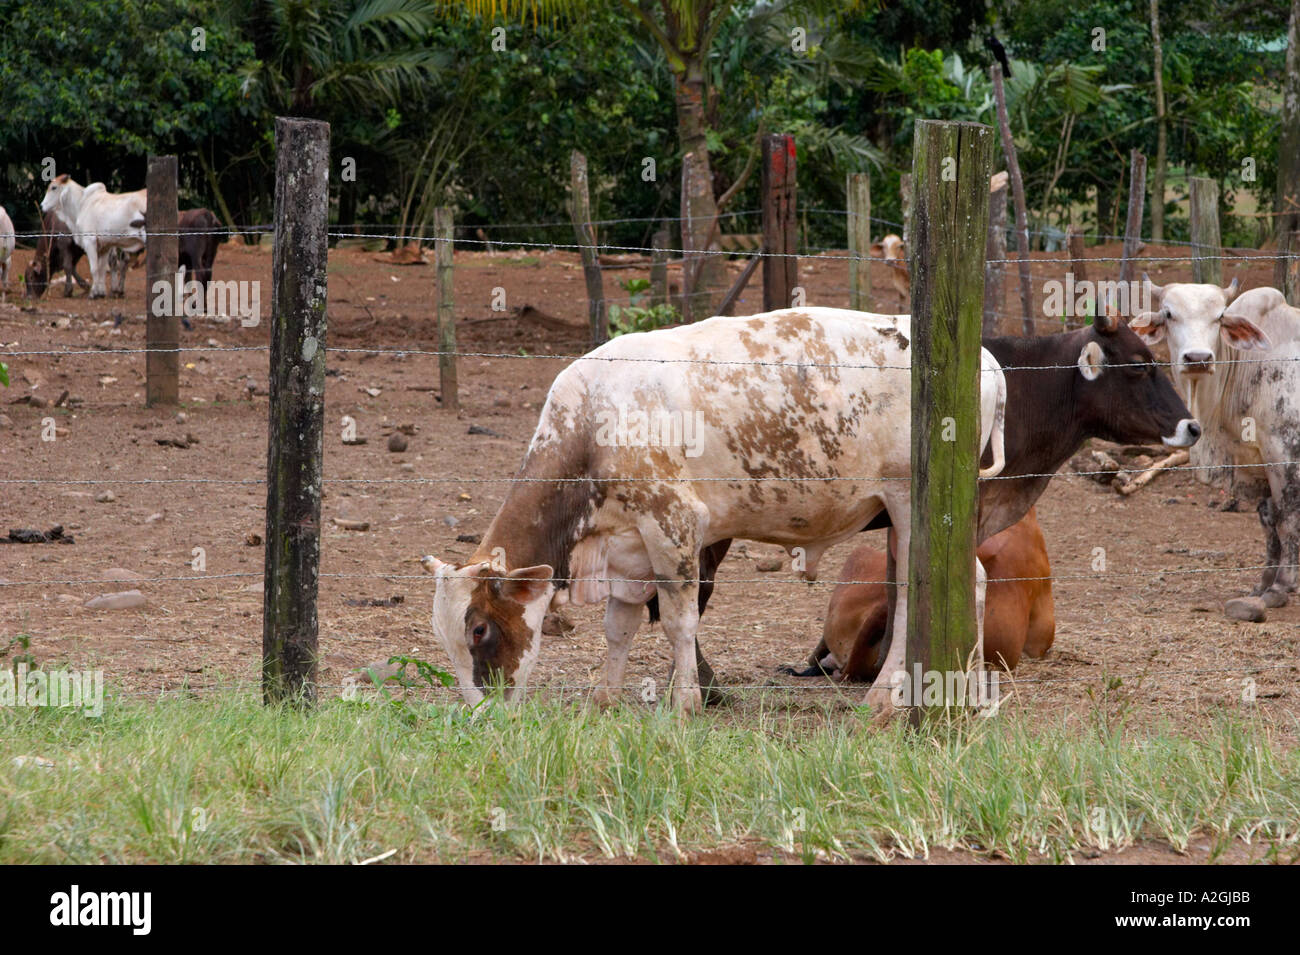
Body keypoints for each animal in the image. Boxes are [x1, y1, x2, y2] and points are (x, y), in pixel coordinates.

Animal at [1131, 280, 1300, 612]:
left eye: (1220, 316)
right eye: (1168, 314)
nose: (1198, 358)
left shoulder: (1284, 454)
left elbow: (1287, 519)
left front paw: (1281, 587)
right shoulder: (1256, 462)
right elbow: (1269, 520)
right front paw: (1263, 583)